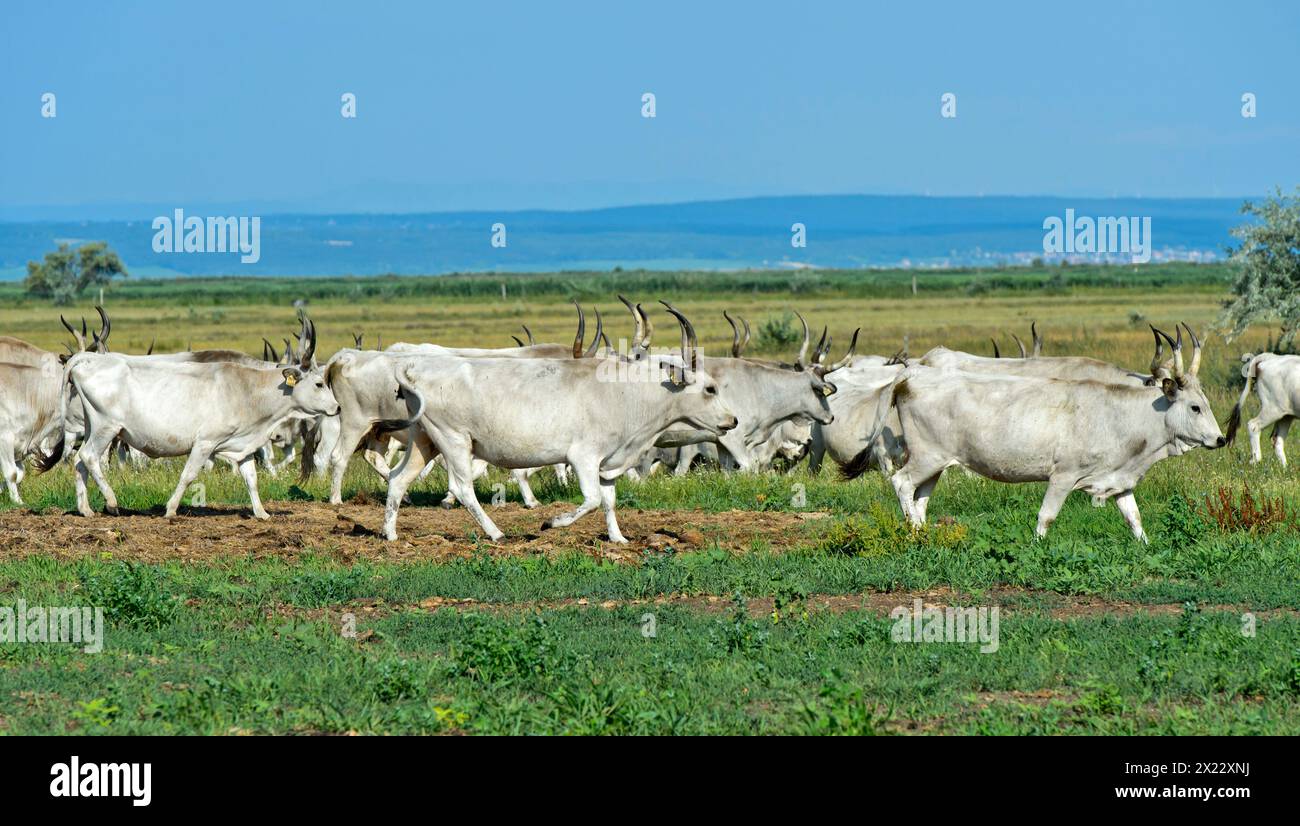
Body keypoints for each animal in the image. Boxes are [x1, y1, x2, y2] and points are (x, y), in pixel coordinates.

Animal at [63, 321, 340, 520]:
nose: (337, 407)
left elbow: (252, 479)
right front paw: (171, 509)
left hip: (92, 427)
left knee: (79, 461)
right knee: (89, 457)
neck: (247, 390)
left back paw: (85, 509)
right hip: (106, 428)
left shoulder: (243, 446)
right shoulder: (205, 443)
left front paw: (261, 513)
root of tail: (90, 359)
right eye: (318, 383)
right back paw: (111, 502)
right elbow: (188, 475)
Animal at [379, 304, 738, 542]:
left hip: (424, 440)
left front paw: (619, 539)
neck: (625, 392)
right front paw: (551, 522)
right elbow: (592, 500)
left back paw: (390, 535)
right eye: (710, 388)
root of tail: (414, 370)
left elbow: (609, 500)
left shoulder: (609, 461)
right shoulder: (584, 457)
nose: (733, 420)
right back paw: (497, 533)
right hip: (454, 440)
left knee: (398, 479)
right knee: (463, 488)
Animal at [844, 326, 1225, 542]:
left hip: (936, 464)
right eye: (1195, 407)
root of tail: (912, 375)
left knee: (920, 497)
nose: (1221, 439)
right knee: (902, 484)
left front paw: (1146, 548)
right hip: (926, 457)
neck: (1122, 414)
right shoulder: (1063, 476)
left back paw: (921, 534)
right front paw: (1037, 549)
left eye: (1205, 402)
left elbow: (1134, 517)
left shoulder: (1119, 479)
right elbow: (1047, 515)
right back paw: (913, 533)